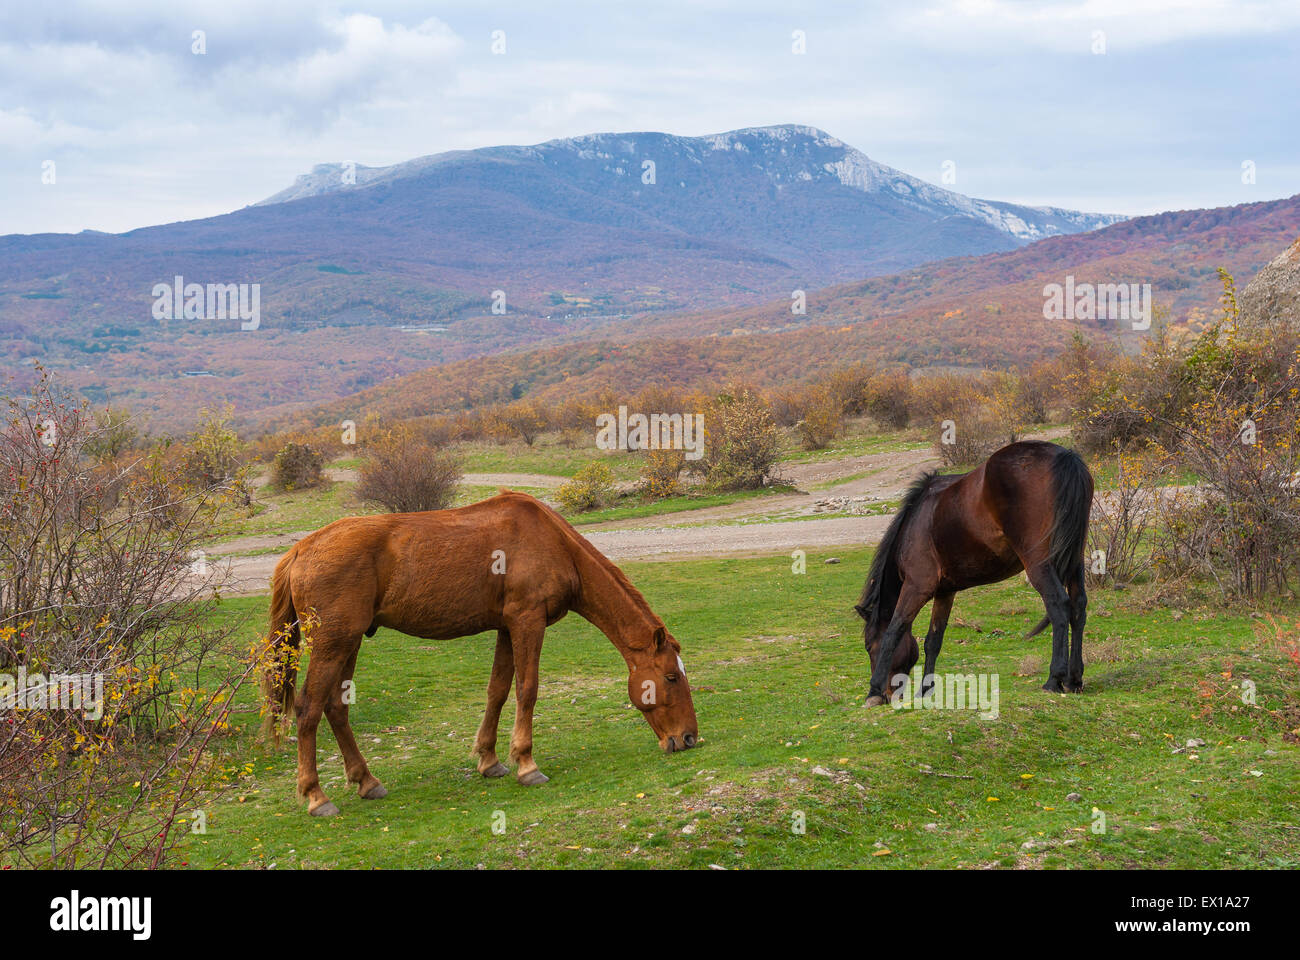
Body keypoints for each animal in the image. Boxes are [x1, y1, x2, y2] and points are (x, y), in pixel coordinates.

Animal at [261, 490, 699, 817]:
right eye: (671, 677)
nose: (689, 738)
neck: (553, 543)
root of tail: (300, 550)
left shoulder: (507, 627)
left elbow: (498, 691)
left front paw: (490, 760)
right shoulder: (527, 621)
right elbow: (527, 690)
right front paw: (527, 764)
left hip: (348, 642)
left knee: (336, 707)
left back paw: (367, 782)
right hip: (333, 643)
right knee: (308, 708)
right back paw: (316, 796)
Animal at [854, 440, 1093, 707]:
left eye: (868, 646)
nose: (888, 693)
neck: (915, 522)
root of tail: (1064, 455)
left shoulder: (917, 586)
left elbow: (894, 631)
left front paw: (873, 691)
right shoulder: (945, 592)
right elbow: (933, 641)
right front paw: (926, 689)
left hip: (1040, 564)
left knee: (1058, 605)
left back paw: (1054, 679)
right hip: (1075, 559)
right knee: (1078, 607)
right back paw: (1074, 679)